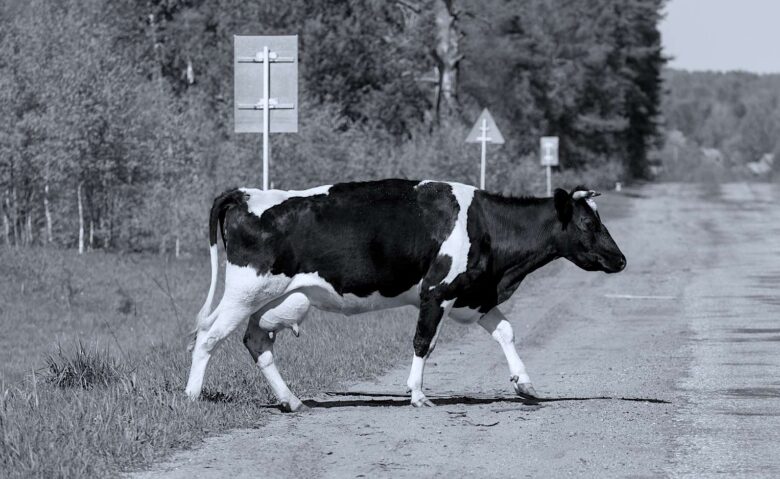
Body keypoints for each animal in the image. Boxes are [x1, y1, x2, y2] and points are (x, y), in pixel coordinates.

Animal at [185, 179, 626, 411]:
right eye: (588, 223)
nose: (621, 260)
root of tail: (247, 193)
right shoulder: (437, 292)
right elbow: (423, 342)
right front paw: (416, 394)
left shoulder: (475, 295)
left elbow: (506, 331)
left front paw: (524, 384)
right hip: (245, 290)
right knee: (208, 335)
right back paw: (192, 396)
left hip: (278, 298)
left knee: (255, 340)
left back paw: (292, 400)